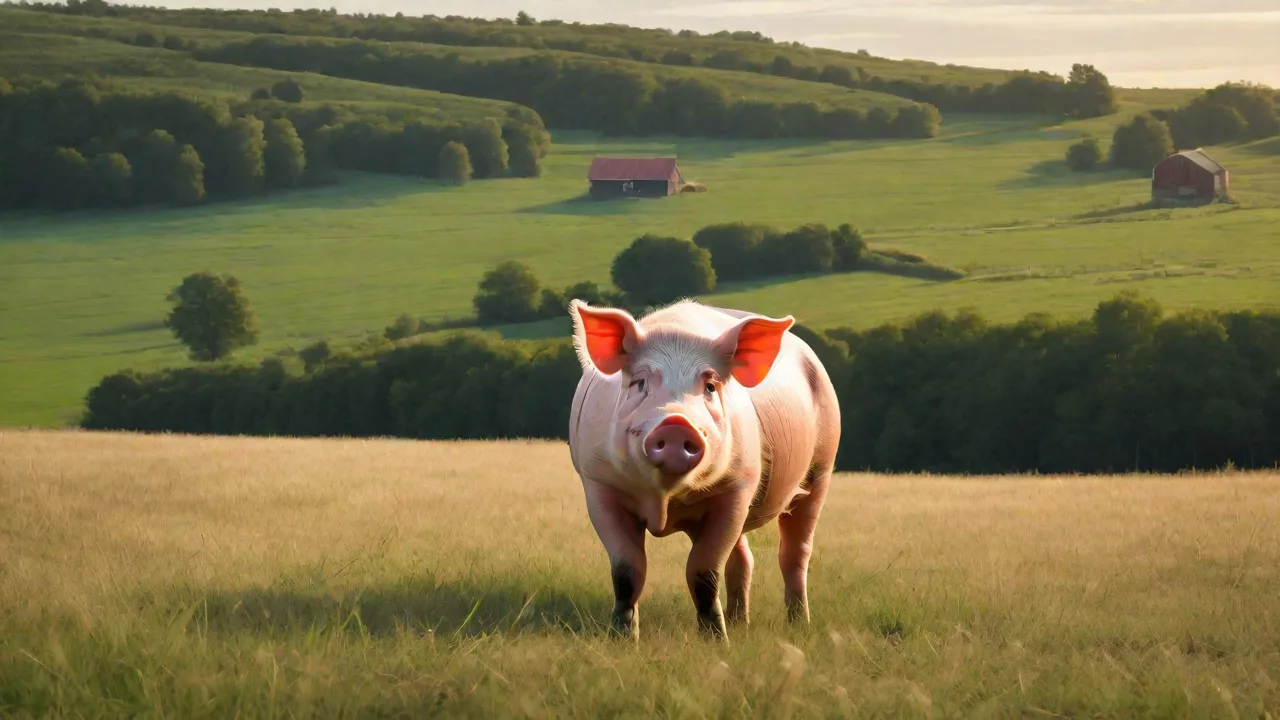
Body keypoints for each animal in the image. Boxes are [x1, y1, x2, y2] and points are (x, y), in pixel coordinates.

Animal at [567, 298, 841, 642]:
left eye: (709, 385)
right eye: (640, 383)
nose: (675, 423)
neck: (664, 500)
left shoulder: (736, 488)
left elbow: (703, 571)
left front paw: (716, 642)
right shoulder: (600, 486)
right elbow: (627, 571)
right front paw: (623, 639)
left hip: (822, 469)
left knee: (795, 554)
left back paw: (798, 625)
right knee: (743, 558)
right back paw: (740, 623)